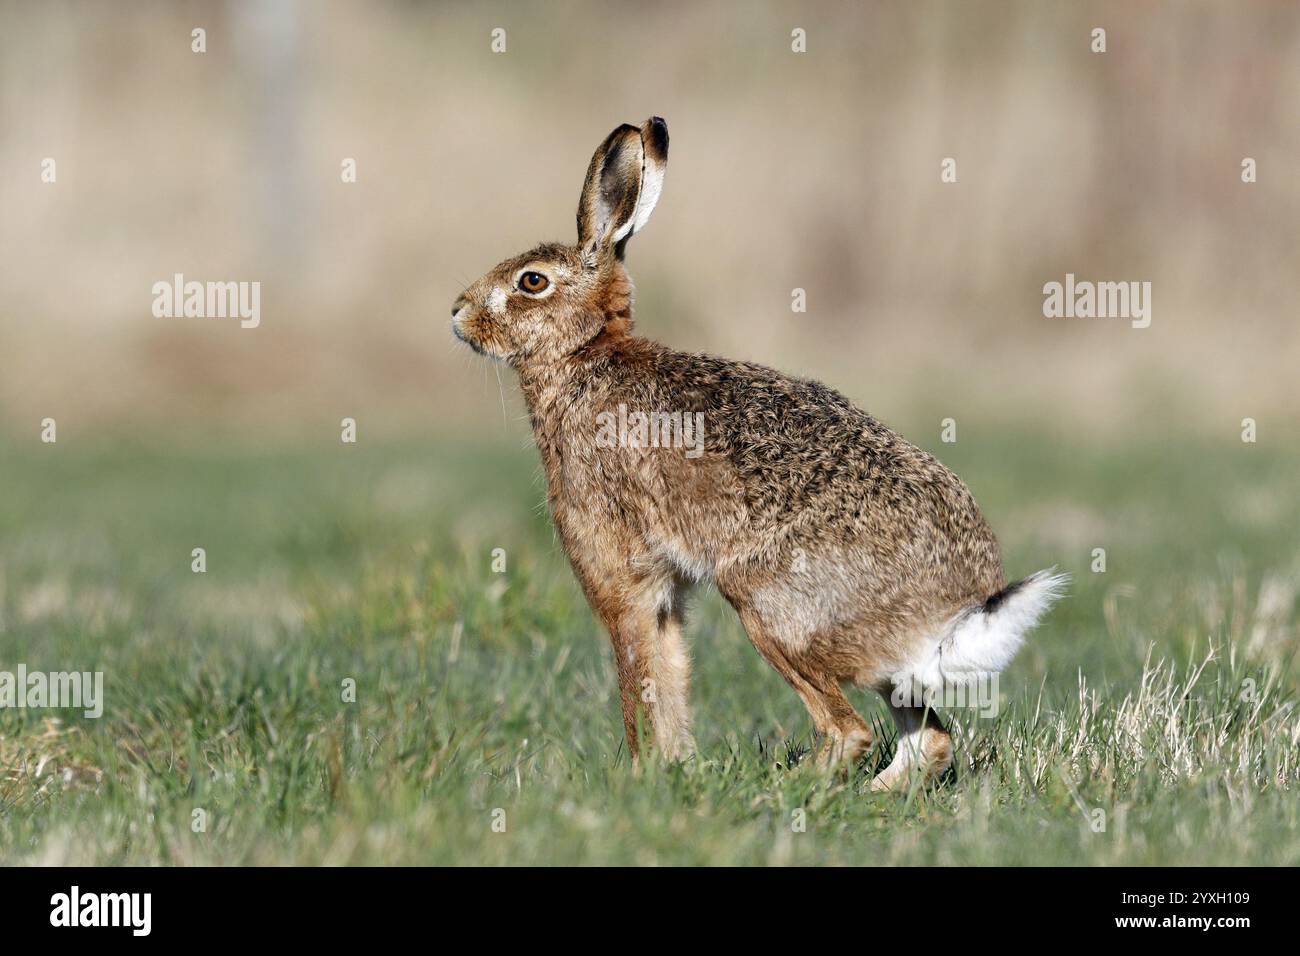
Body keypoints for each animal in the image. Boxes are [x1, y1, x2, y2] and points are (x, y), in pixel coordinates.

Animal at [452, 117, 1067, 790]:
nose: (458, 313)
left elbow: (638, 679)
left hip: (769, 608)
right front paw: (674, 770)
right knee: (928, 741)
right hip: (874, 660)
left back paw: (786, 789)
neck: (584, 354)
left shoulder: (620, 579)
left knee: (848, 731)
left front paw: (641, 779)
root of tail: (960, 607)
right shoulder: (666, 598)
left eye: (531, 281)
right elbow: (671, 676)